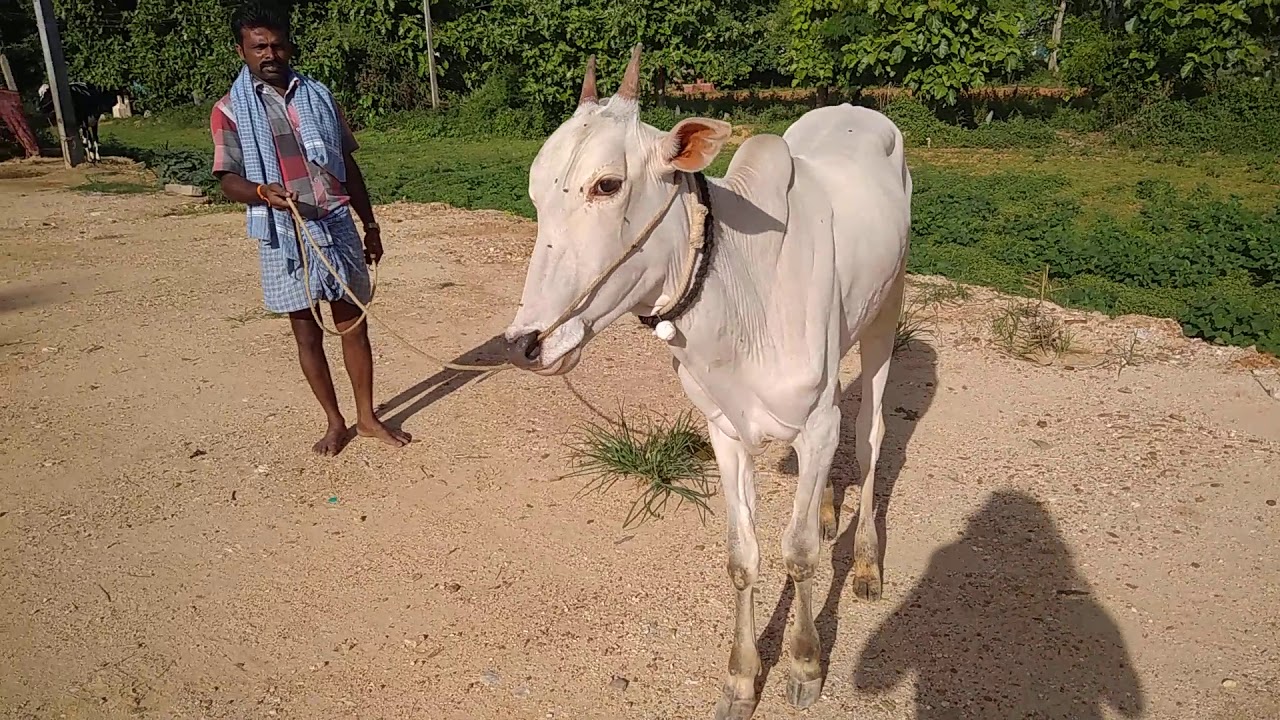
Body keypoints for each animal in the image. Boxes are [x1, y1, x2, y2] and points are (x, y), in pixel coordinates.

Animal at [501, 46, 913, 719]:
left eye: (607, 184)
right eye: (536, 191)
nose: (525, 342)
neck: (741, 291)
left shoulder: (816, 425)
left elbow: (799, 553)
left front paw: (804, 664)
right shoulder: (725, 432)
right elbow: (742, 557)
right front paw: (741, 679)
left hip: (887, 311)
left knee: (872, 435)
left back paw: (867, 563)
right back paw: (831, 510)